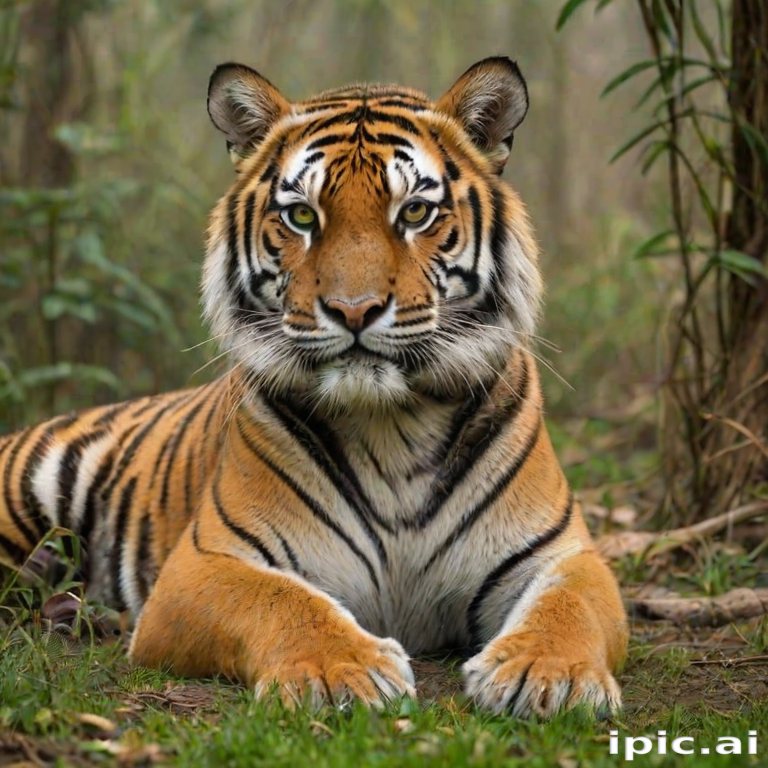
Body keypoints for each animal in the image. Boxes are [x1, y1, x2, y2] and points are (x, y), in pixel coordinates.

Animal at [0, 57, 628, 717]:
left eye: (414, 213)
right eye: (302, 216)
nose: (354, 310)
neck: (392, 423)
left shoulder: (563, 554)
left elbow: (569, 606)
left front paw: (550, 676)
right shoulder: (205, 563)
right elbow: (282, 601)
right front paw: (340, 670)